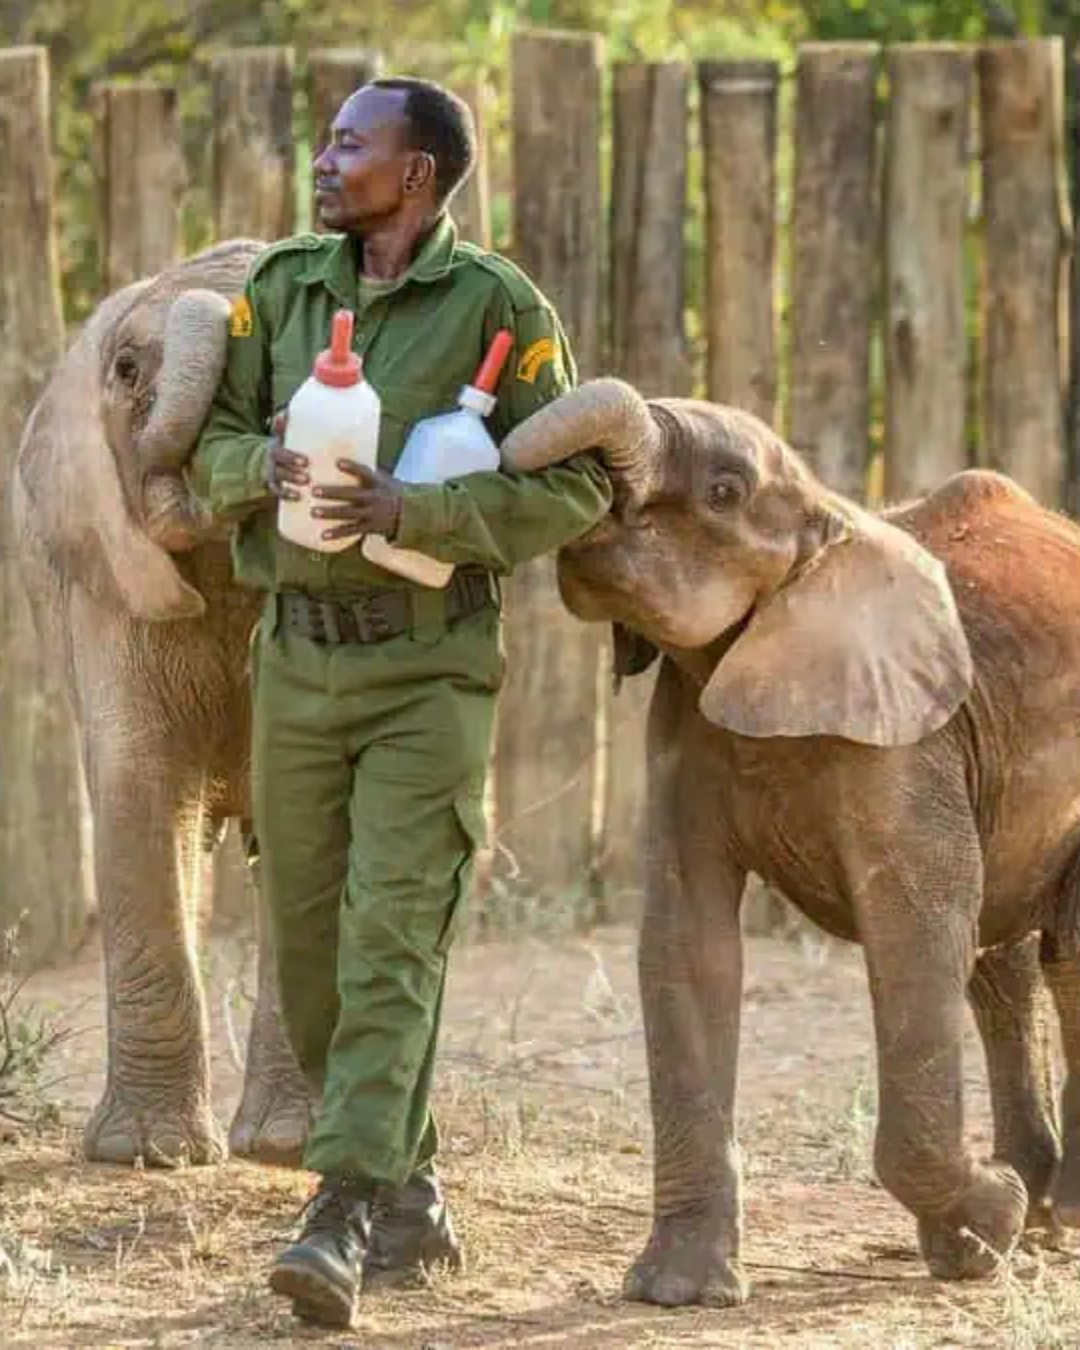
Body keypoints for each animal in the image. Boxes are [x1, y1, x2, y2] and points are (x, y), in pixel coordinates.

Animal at [500, 379, 1080, 1304]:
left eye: (723, 490)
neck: (825, 521)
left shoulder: (908, 738)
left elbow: (917, 937)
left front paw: (987, 1227)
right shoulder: (686, 724)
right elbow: (688, 945)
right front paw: (679, 1294)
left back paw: (1050, 1213)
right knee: (1007, 965)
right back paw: (1041, 1208)